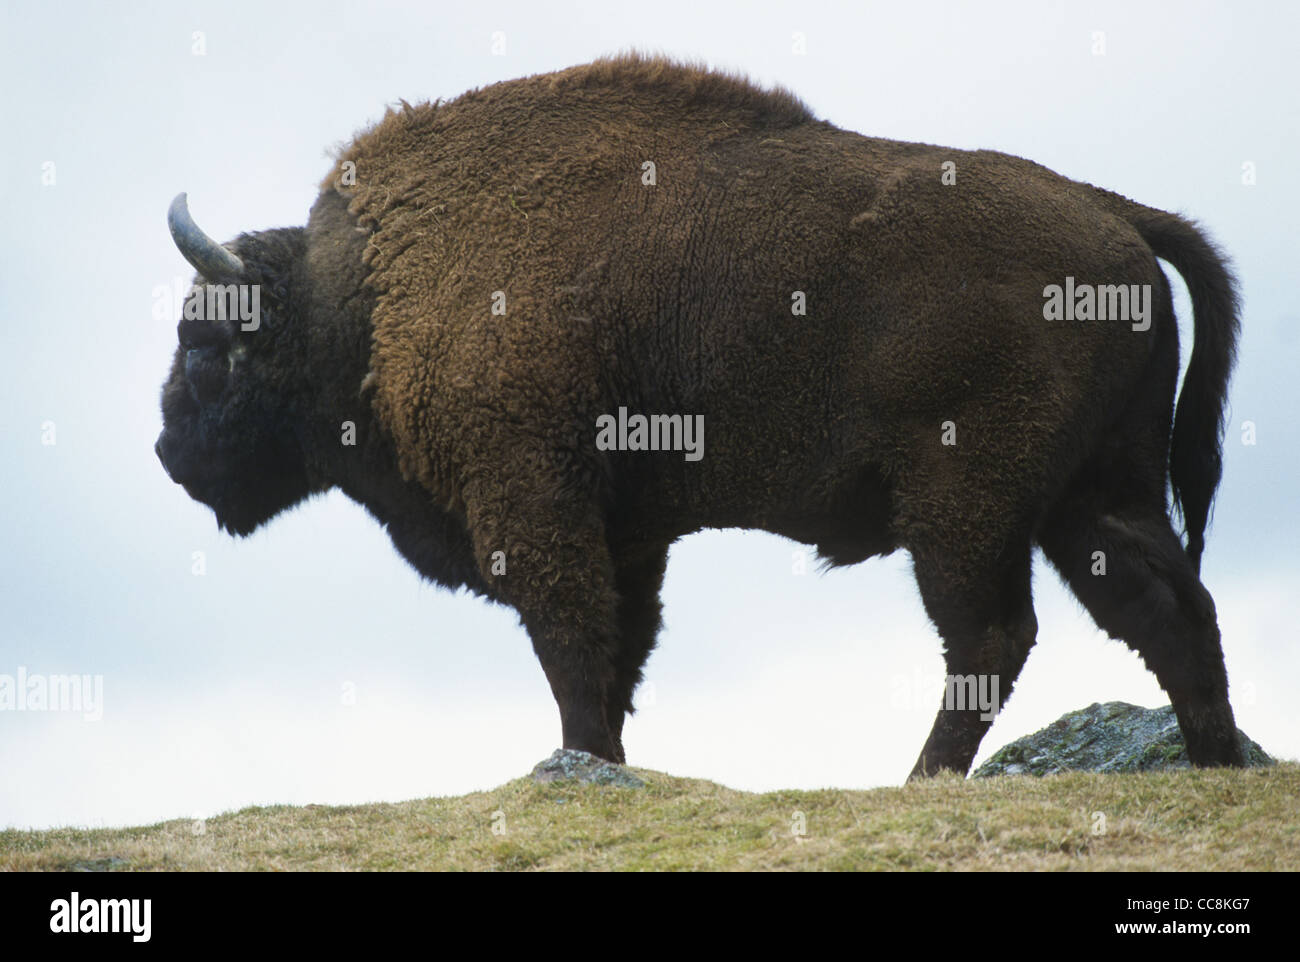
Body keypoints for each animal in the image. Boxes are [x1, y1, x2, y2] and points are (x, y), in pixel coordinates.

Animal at [155, 52, 1245, 778]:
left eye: (204, 346)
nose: (168, 449)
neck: (363, 294)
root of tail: (1116, 212)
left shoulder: (534, 500)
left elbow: (572, 641)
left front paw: (578, 764)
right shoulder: (628, 532)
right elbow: (618, 652)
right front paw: (605, 760)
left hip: (964, 504)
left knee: (992, 635)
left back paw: (918, 779)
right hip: (1091, 495)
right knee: (1166, 609)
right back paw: (1213, 760)